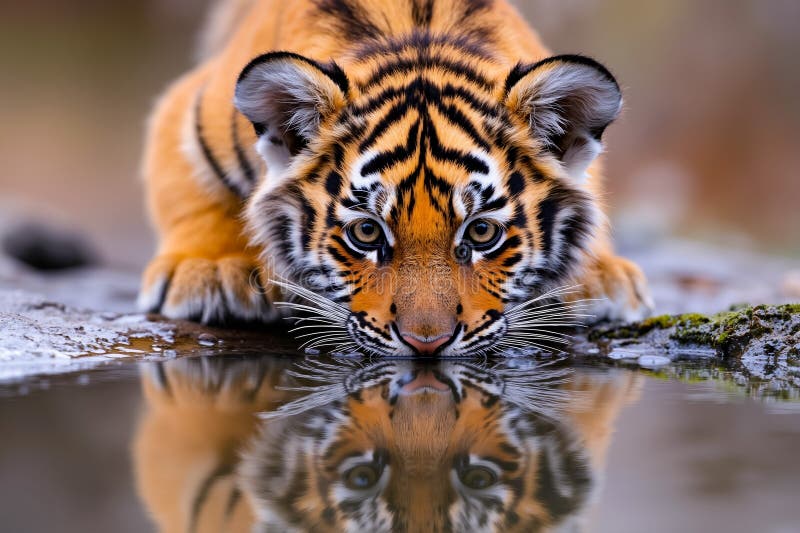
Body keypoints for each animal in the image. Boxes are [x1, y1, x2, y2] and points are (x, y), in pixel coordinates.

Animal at [138, 0, 654, 355]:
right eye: (366, 232)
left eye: (482, 233)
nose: (427, 344)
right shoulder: (190, 108)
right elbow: (190, 185)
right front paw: (212, 268)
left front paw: (595, 279)